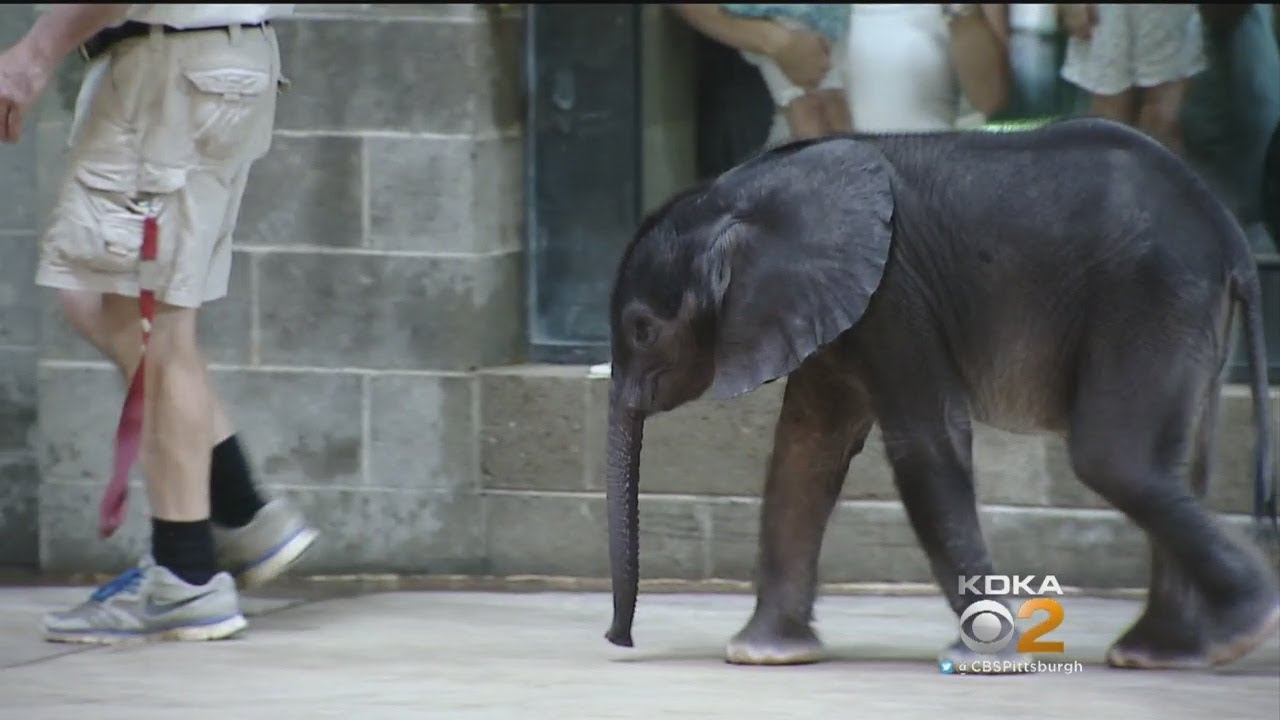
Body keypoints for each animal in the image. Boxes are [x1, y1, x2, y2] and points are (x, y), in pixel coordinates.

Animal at [600, 116, 1280, 672]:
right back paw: (1164, 652)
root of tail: (1231, 234)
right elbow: (805, 451)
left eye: (641, 329)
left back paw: (1241, 630)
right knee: (1176, 466)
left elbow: (925, 443)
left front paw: (984, 656)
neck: (739, 196)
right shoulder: (834, 307)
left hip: (1151, 295)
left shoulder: (895, 293)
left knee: (1118, 459)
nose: (619, 640)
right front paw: (764, 656)